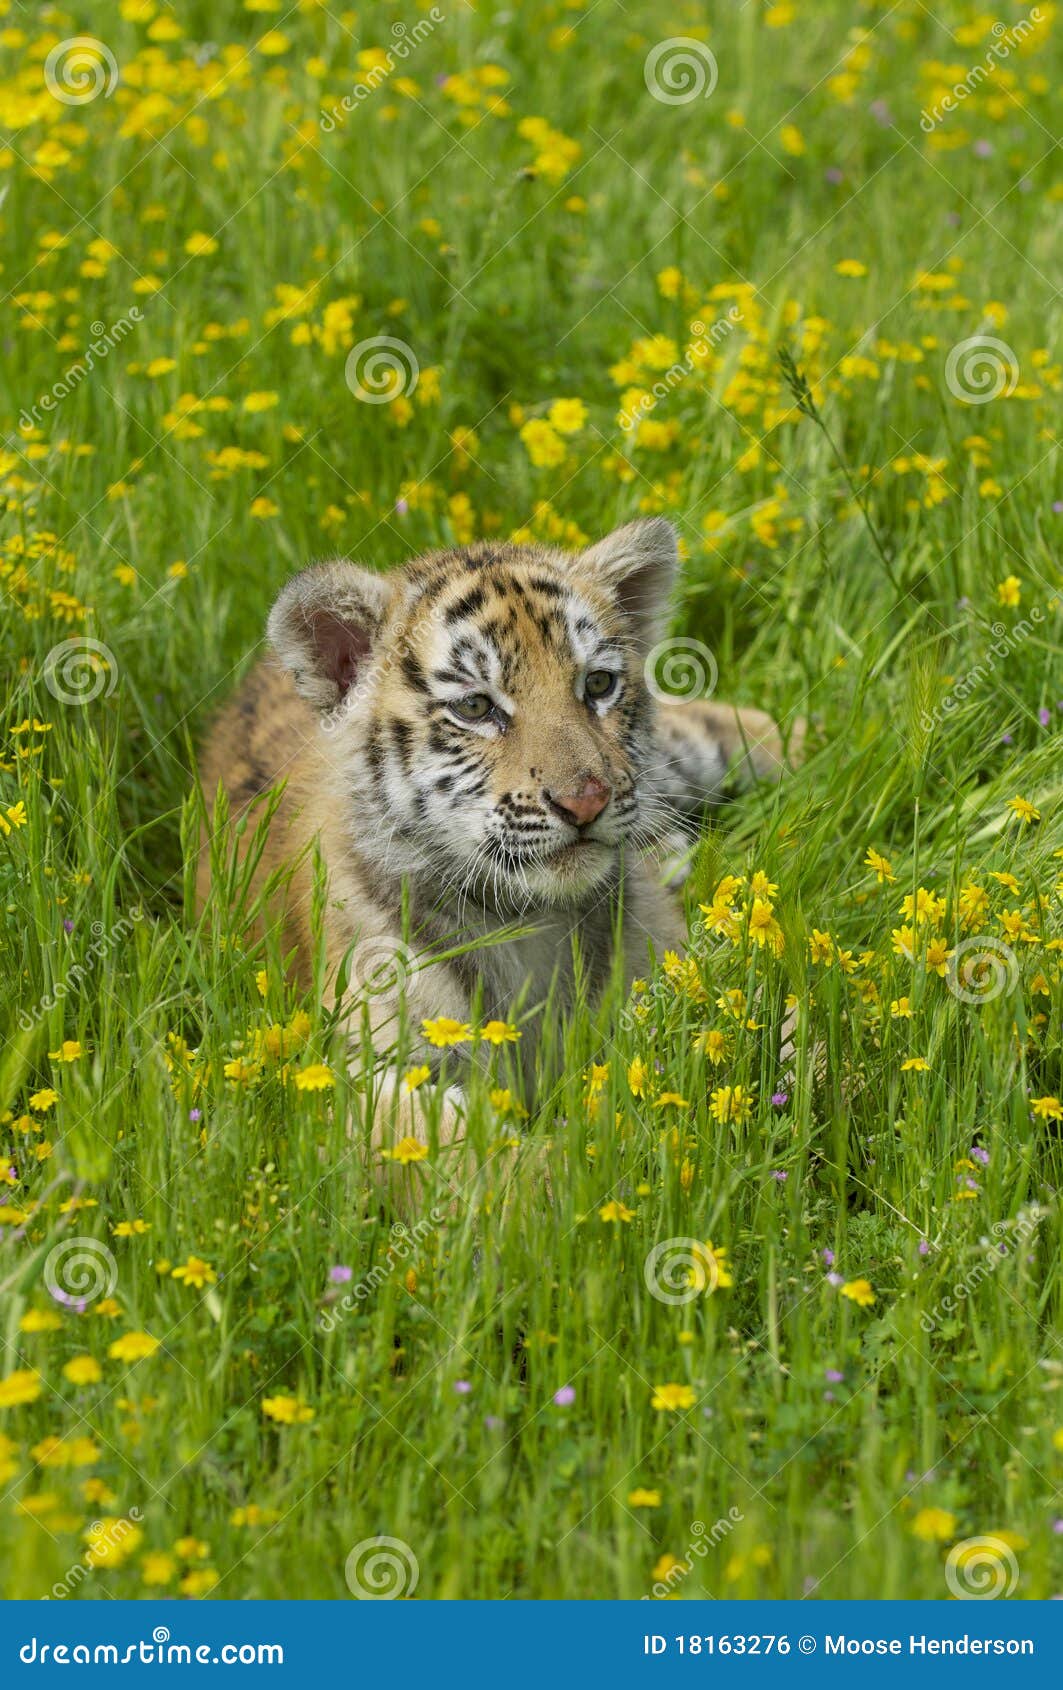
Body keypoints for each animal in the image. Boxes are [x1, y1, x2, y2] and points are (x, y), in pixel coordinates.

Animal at [196, 518, 790, 1192]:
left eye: (598, 684)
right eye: (476, 707)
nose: (585, 801)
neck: (527, 919)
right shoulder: (353, 1072)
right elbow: (471, 1157)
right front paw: (581, 1183)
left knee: (755, 725)